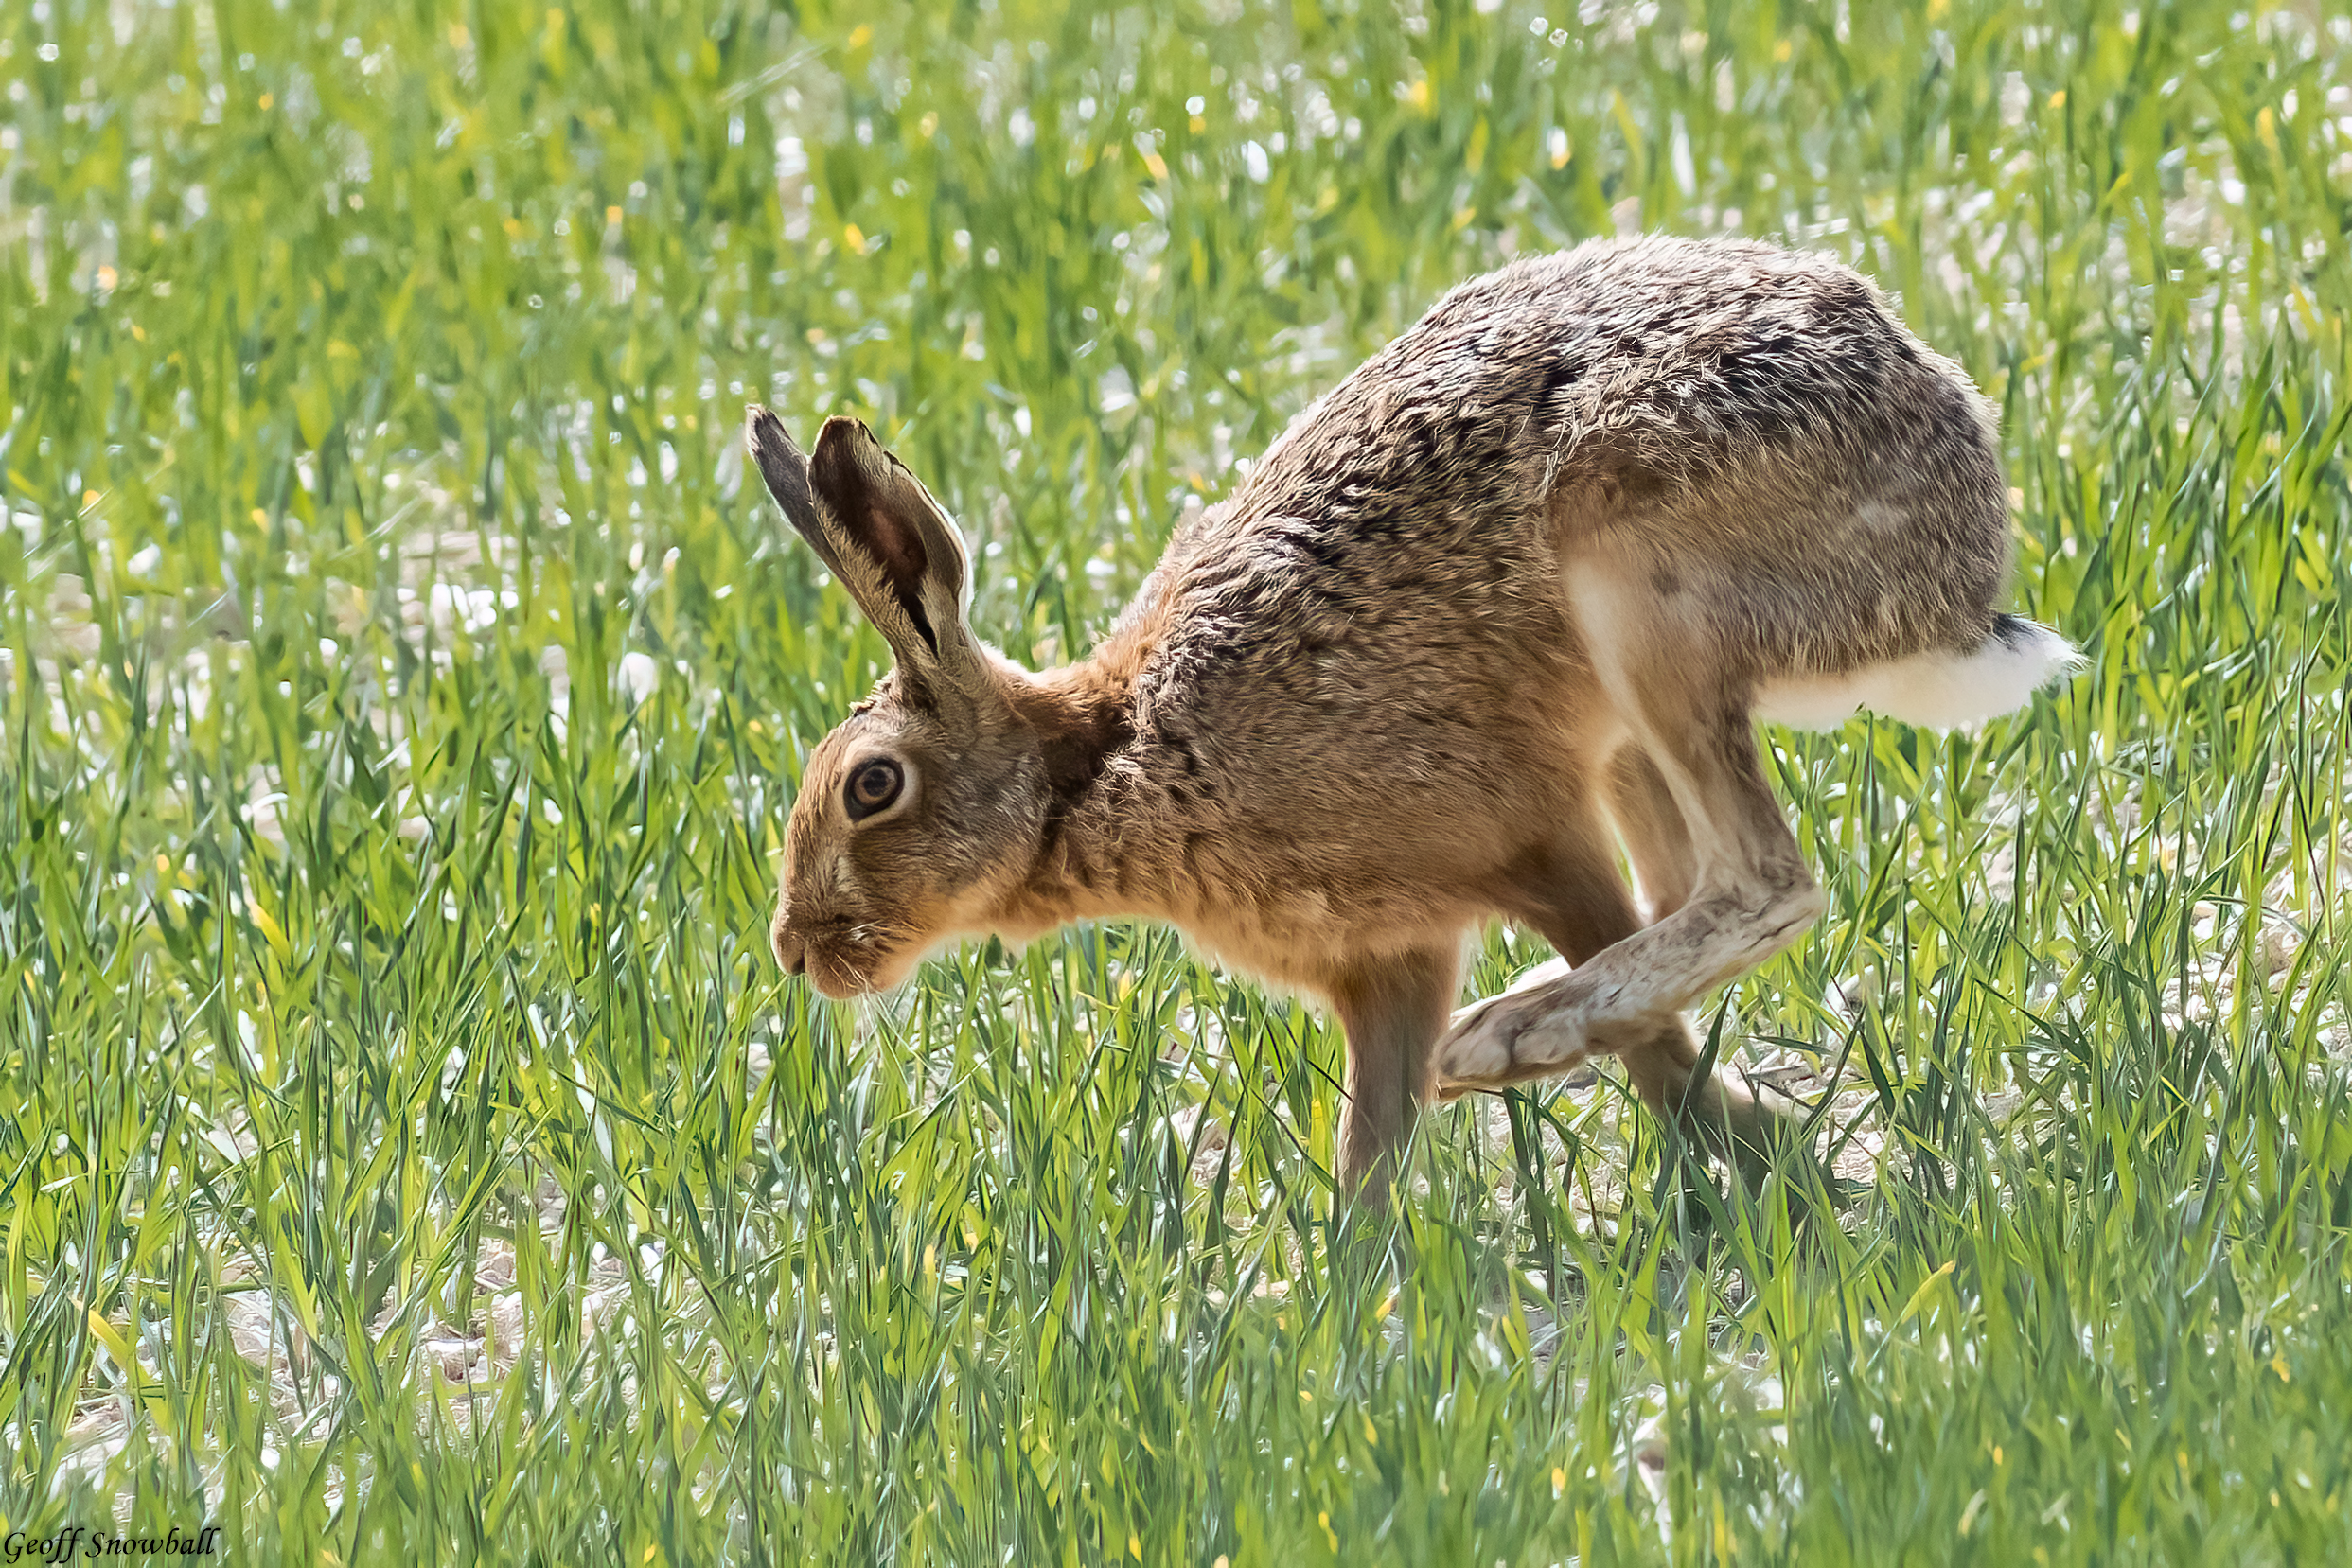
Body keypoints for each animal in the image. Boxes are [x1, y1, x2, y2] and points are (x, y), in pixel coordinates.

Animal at [746, 233, 2081, 1202]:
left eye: (872, 785)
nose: (797, 951)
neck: (1106, 756)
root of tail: (1960, 571)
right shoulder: (1387, 958)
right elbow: (1371, 1151)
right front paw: (1346, 1325)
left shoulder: (1526, 841)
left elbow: (1633, 1013)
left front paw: (1754, 1157)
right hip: (1627, 718)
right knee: (1693, 880)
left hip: (1639, 587)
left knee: (1761, 883)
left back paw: (1512, 1039)